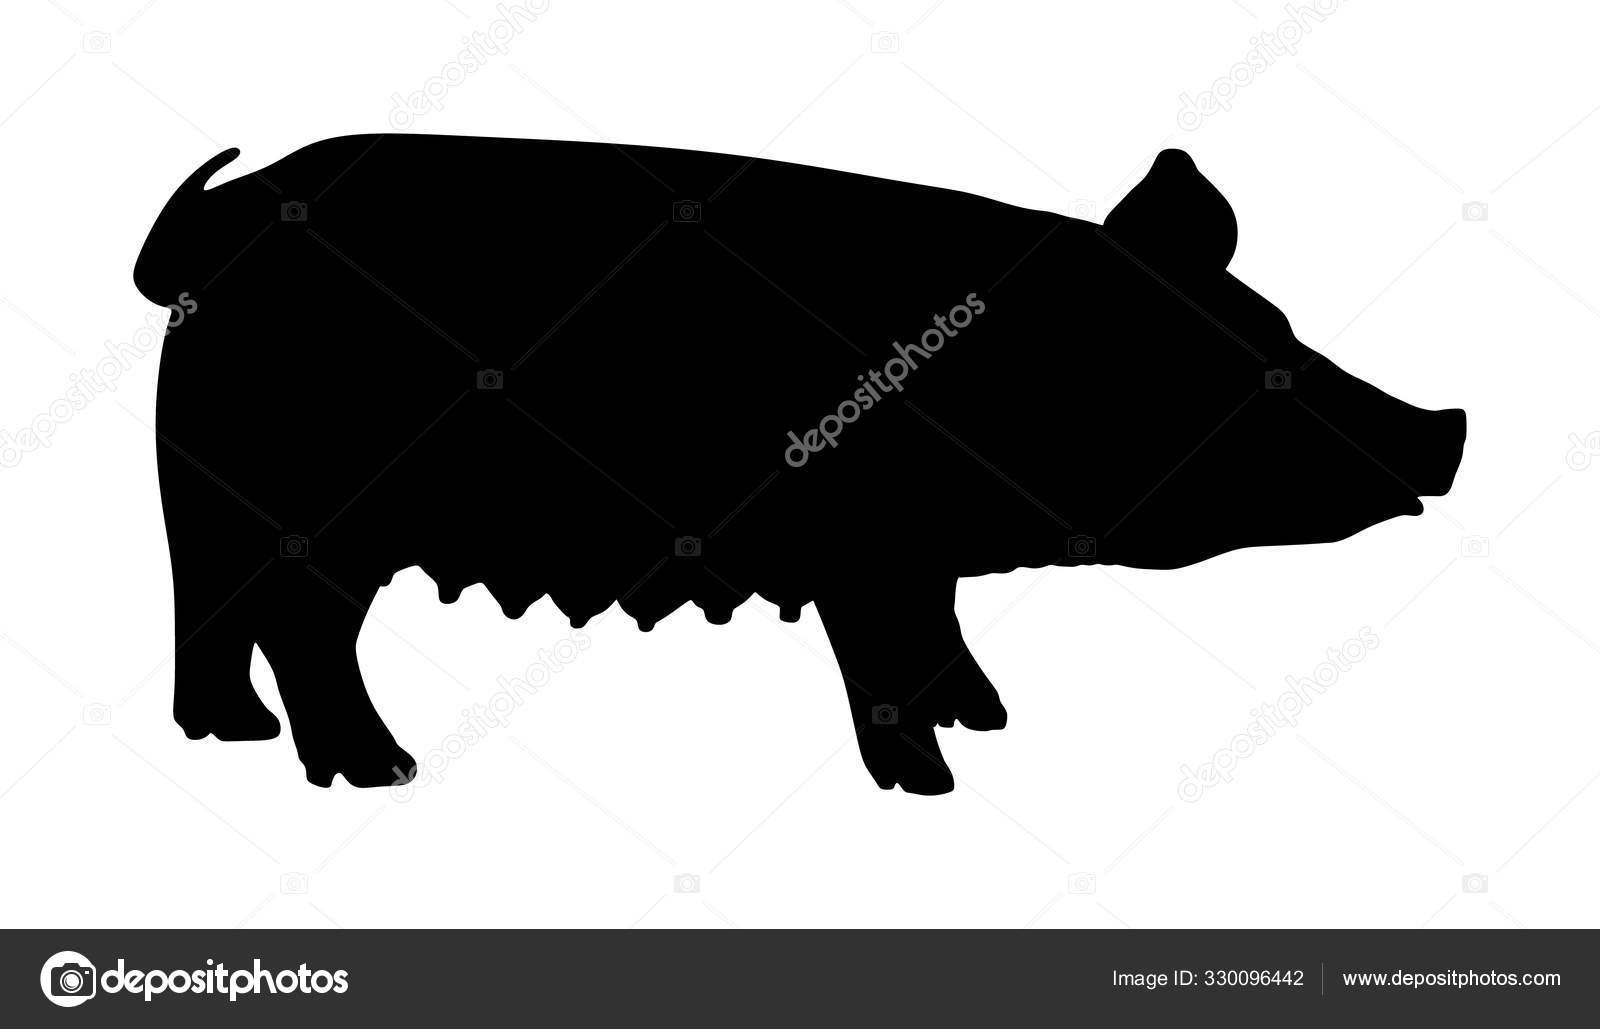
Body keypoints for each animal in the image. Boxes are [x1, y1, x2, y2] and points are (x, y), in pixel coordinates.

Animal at [133, 138, 1465, 794]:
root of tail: (215, 226)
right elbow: (882, 651)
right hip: (311, 510)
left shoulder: (924, 564)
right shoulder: (862, 552)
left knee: (215, 616)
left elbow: (938, 634)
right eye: (1249, 369)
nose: (1444, 430)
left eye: (1280, 326)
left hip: (219, 512)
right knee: (302, 630)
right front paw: (930, 790)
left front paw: (990, 722)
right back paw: (382, 773)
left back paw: (230, 738)